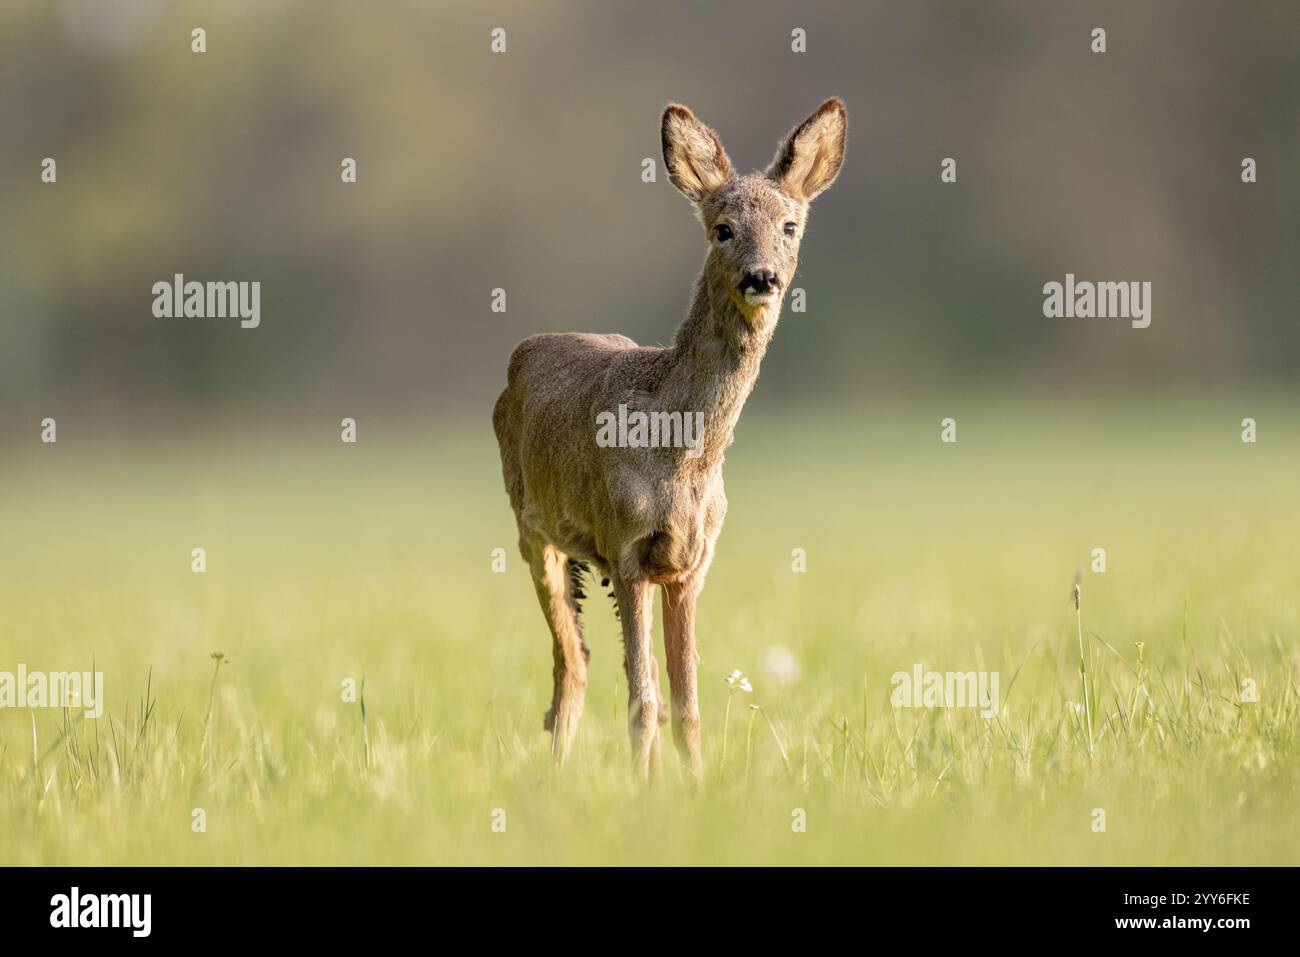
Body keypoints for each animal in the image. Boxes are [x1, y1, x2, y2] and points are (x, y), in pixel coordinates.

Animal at [492, 97, 847, 779]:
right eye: (723, 229)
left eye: (790, 226)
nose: (762, 277)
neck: (682, 458)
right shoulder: (626, 545)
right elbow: (642, 700)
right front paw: (644, 792)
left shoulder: (690, 562)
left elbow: (684, 705)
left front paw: (693, 787)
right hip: (534, 533)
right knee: (573, 665)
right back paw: (555, 778)